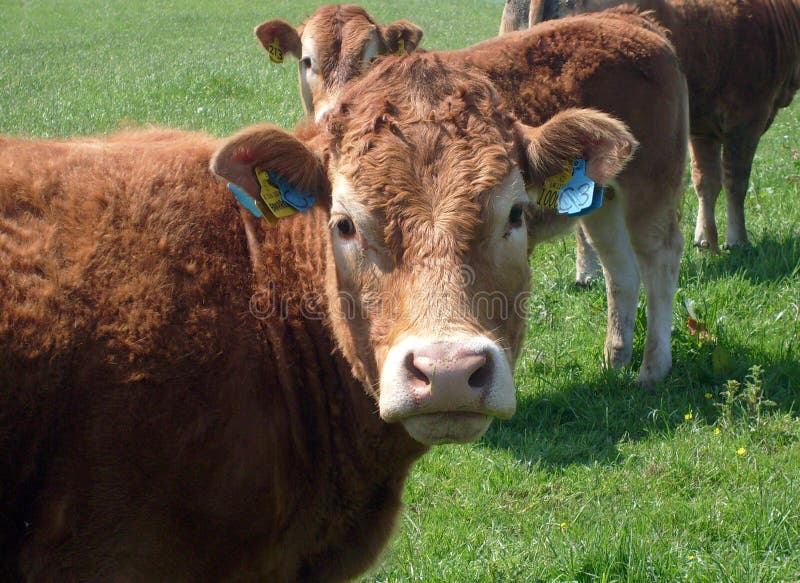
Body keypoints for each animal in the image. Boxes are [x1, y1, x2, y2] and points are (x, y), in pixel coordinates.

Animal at [255, 5, 689, 383]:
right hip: (604, 200)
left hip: (652, 183)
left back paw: (653, 368)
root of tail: (630, 21)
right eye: (307, 61)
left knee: (659, 260)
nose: (334, 117)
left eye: (372, 58)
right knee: (621, 270)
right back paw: (616, 359)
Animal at [510, 0, 800, 251]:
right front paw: (737, 240)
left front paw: (704, 239)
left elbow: (706, 181)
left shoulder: (702, 130)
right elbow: (736, 182)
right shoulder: (747, 118)